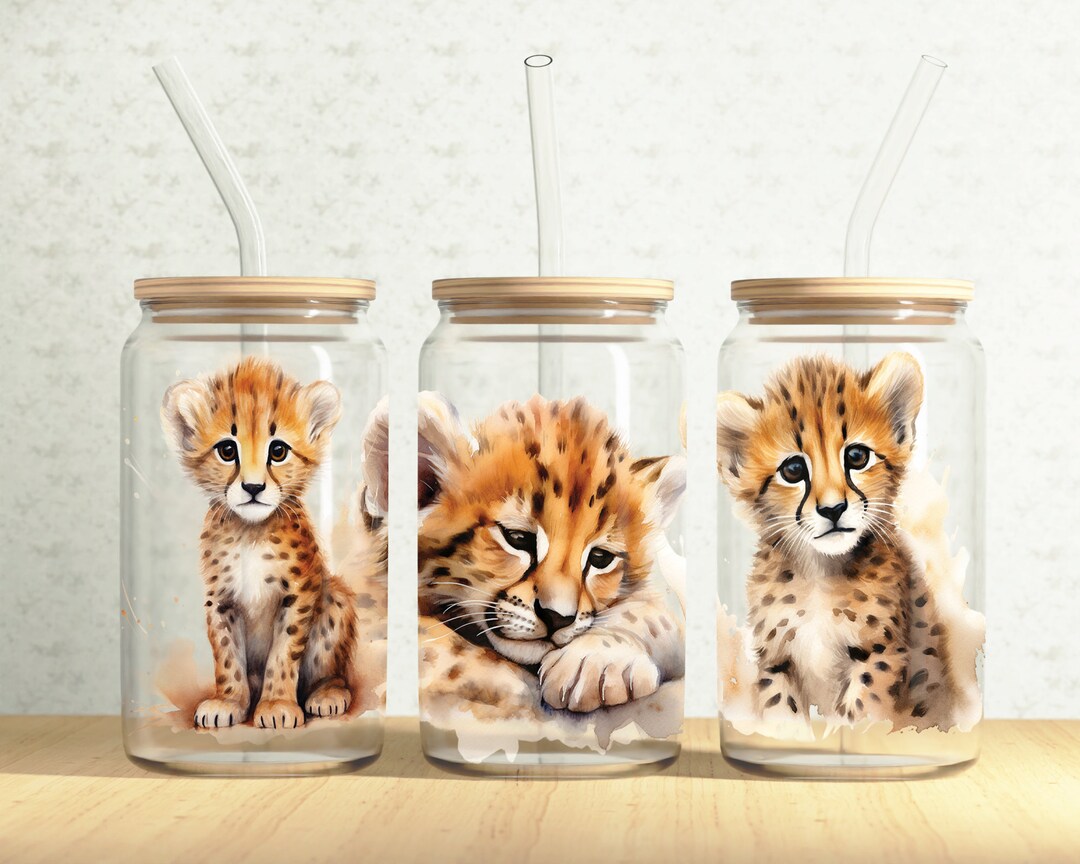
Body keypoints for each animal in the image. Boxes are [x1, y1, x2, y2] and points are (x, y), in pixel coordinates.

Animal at [161, 356, 357, 730]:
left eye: (278, 451)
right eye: (227, 450)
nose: (253, 488)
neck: (250, 532)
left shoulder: (300, 592)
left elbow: (284, 651)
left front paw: (277, 704)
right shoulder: (220, 600)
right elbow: (226, 656)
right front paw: (229, 702)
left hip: (335, 598)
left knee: (331, 670)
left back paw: (326, 693)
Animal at [716, 352, 959, 731]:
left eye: (857, 457)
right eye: (793, 470)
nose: (833, 509)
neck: (819, 570)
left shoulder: (879, 653)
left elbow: (863, 712)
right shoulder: (777, 660)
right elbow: (781, 711)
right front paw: (787, 735)